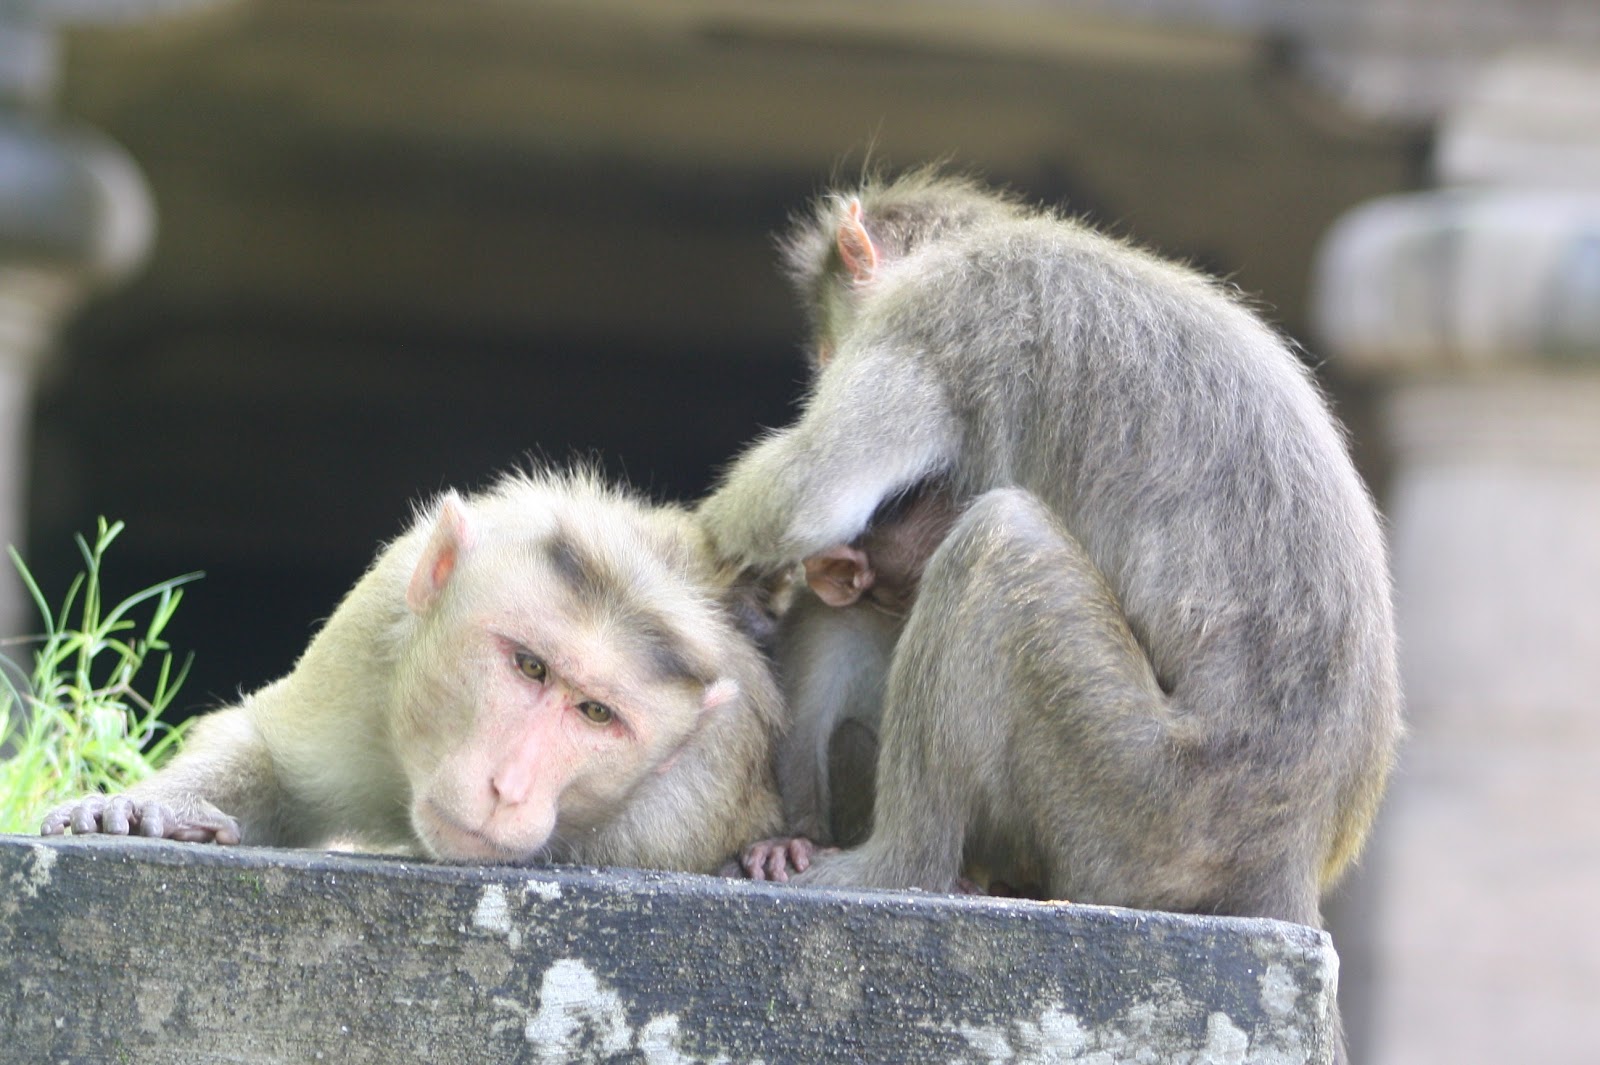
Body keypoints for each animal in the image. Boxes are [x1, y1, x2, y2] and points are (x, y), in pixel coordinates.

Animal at [42, 468, 784, 875]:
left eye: (597, 713)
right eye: (530, 666)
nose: (509, 787)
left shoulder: (678, 814)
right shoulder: (370, 634)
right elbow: (273, 758)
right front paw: (154, 806)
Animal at [699, 170, 1402, 940]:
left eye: (828, 351)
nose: (821, 368)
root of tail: (1290, 852)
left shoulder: (934, 313)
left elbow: (809, 497)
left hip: (1140, 796)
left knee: (999, 540)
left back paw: (893, 868)